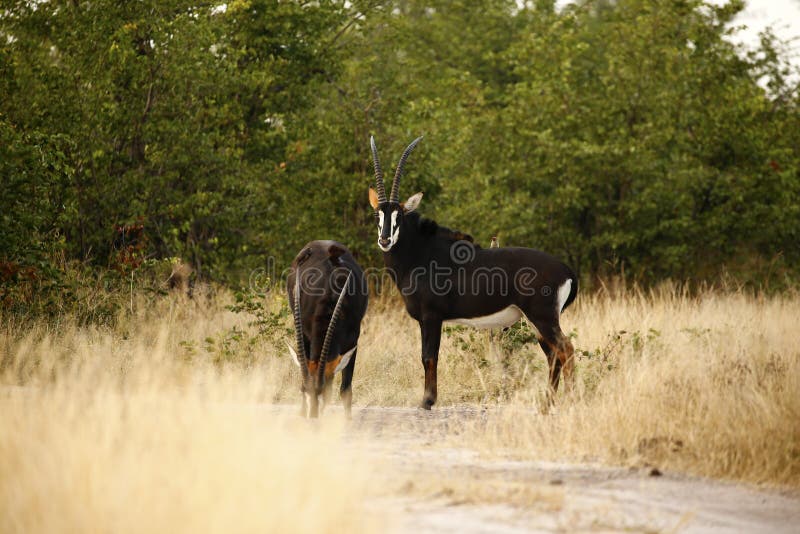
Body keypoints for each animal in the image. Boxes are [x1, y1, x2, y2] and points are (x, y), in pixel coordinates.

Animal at [286, 241, 368, 418]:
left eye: (323, 393)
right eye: (306, 392)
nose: (313, 418)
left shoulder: (353, 341)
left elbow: (346, 390)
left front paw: (347, 420)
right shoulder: (305, 334)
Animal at [367, 136, 578, 409]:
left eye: (399, 216)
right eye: (377, 215)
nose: (384, 240)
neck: (421, 254)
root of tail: (567, 270)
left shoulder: (431, 317)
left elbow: (428, 357)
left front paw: (427, 401)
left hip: (543, 318)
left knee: (566, 350)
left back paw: (570, 401)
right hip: (538, 322)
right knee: (554, 355)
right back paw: (546, 404)